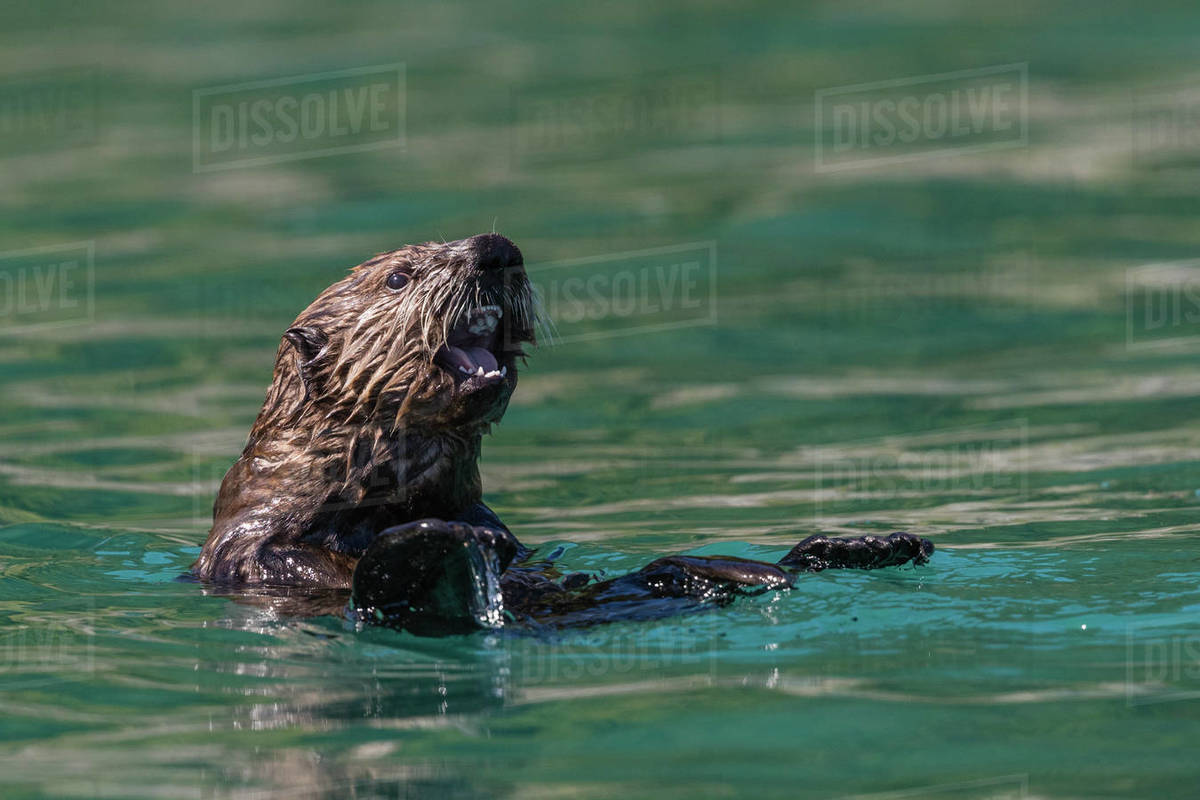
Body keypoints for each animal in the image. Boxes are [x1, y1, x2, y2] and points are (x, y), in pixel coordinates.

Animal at [193, 234, 933, 634]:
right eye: (400, 276)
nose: (497, 250)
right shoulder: (255, 538)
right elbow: (301, 564)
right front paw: (445, 541)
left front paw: (480, 540)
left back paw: (874, 544)